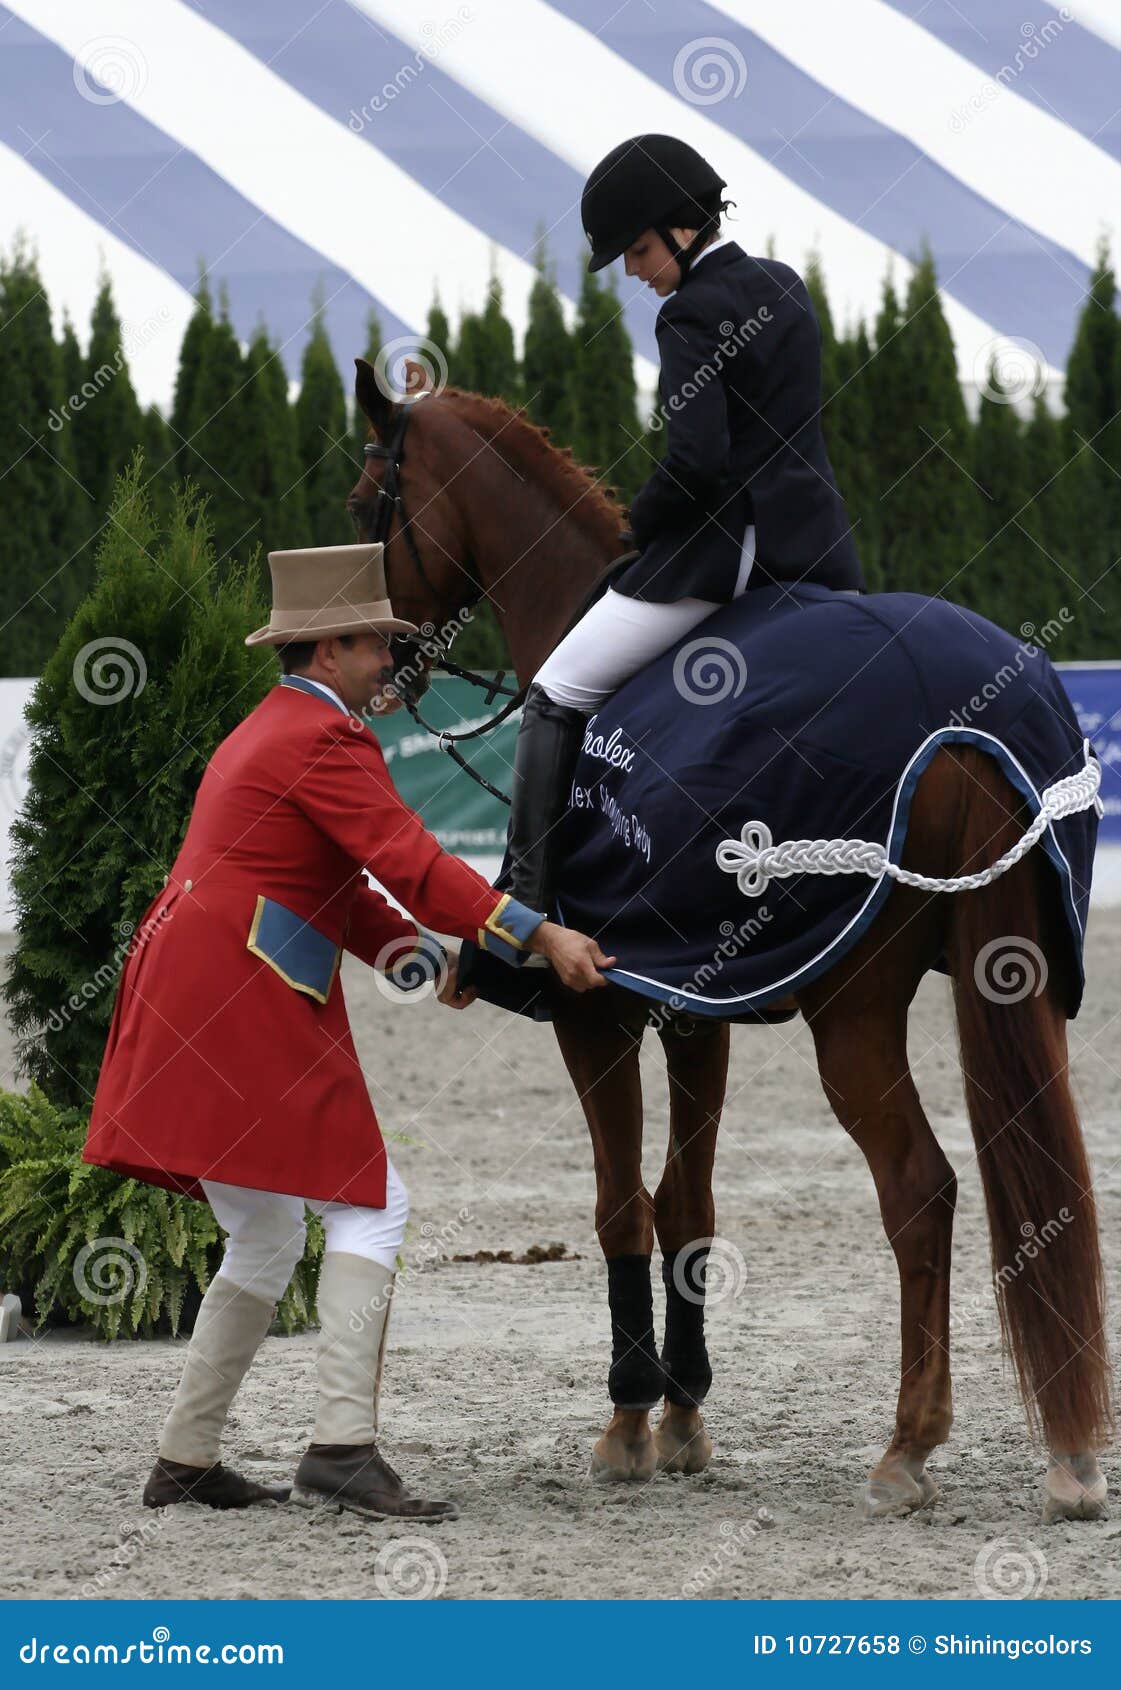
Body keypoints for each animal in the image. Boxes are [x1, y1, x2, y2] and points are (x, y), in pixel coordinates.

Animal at [347, 358, 1112, 1523]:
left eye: (364, 507)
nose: (379, 663)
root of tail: (965, 726)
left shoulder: (598, 1011)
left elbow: (620, 1204)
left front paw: (627, 1422)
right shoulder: (693, 1004)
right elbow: (685, 1201)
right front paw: (683, 1416)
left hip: (853, 1011)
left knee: (920, 1189)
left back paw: (907, 1446)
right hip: (1018, 979)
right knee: (1040, 1184)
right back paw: (1063, 1455)